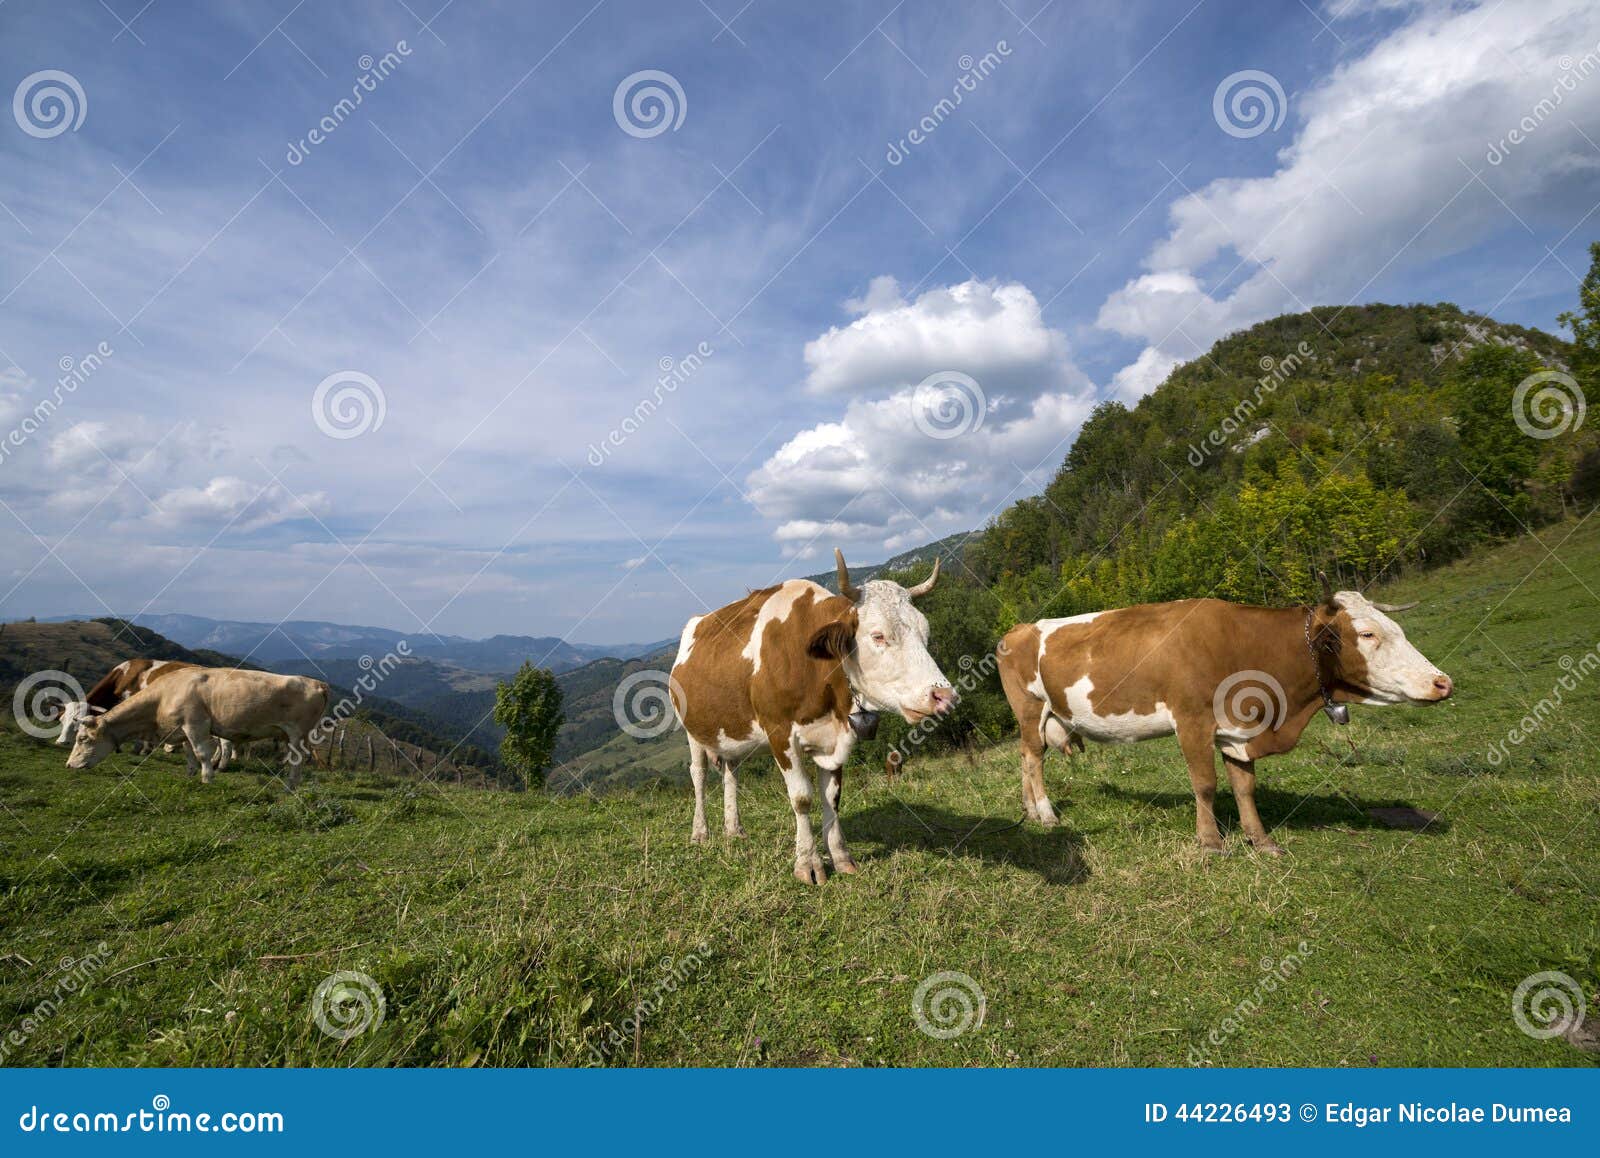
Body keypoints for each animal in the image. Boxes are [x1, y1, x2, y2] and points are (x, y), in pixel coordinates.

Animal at [56, 659, 234, 771]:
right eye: (62, 720)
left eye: (78, 723)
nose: (61, 742)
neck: (124, 674)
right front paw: (146, 749)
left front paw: (138, 749)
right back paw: (215, 762)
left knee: (225, 742)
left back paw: (221, 766)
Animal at [65, 668, 330, 786]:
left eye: (83, 739)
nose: (68, 765)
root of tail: (317, 682)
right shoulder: (181, 729)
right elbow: (188, 752)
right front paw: (191, 773)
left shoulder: (196, 724)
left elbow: (202, 752)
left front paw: (207, 777)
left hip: (297, 733)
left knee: (298, 758)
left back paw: (291, 784)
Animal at [670, 550, 955, 884]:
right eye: (878, 636)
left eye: (926, 632)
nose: (944, 695)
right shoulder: (780, 734)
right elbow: (802, 798)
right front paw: (808, 864)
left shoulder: (836, 736)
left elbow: (832, 797)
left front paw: (842, 858)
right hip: (692, 729)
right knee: (698, 775)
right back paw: (700, 833)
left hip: (731, 731)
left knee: (731, 773)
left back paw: (734, 830)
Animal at [997, 576, 1452, 855]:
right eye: (1368, 634)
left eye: (1396, 628)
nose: (1442, 682)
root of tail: (1019, 629)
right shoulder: (1192, 721)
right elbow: (1205, 784)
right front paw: (1211, 842)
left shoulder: (1239, 730)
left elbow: (1244, 788)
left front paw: (1261, 840)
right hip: (1031, 709)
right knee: (1034, 760)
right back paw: (1047, 815)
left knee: (1025, 758)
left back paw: (1030, 812)